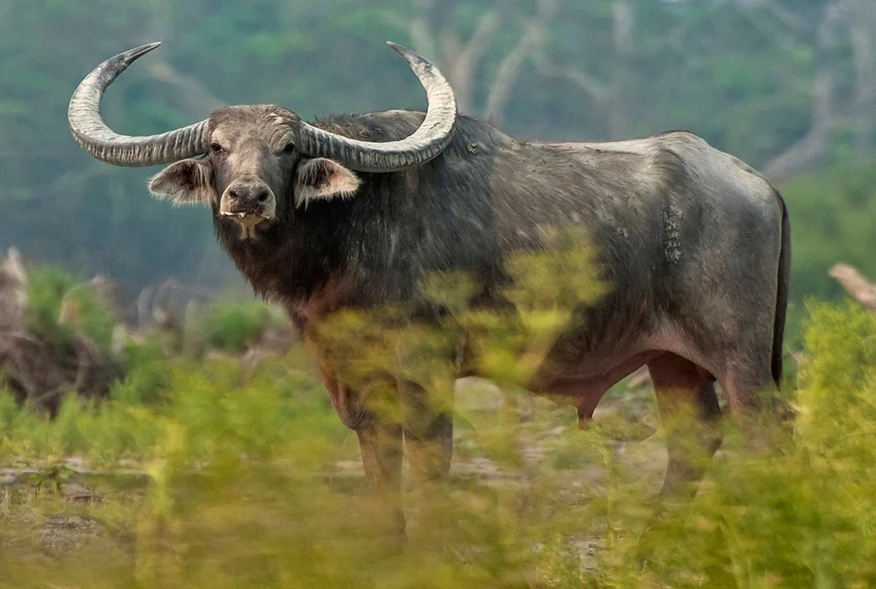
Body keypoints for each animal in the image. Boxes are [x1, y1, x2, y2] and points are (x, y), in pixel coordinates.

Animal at [68, 42, 790, 540]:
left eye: (288, 148)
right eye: (218, 147)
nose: (248, 196)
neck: (350, 232)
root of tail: (755, 184)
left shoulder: (425, 366)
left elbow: (430, 455)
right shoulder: (353, 376)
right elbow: (380, 463)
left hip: (740, 354)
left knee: (763, 431)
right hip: (673, 361)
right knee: (694, 441)